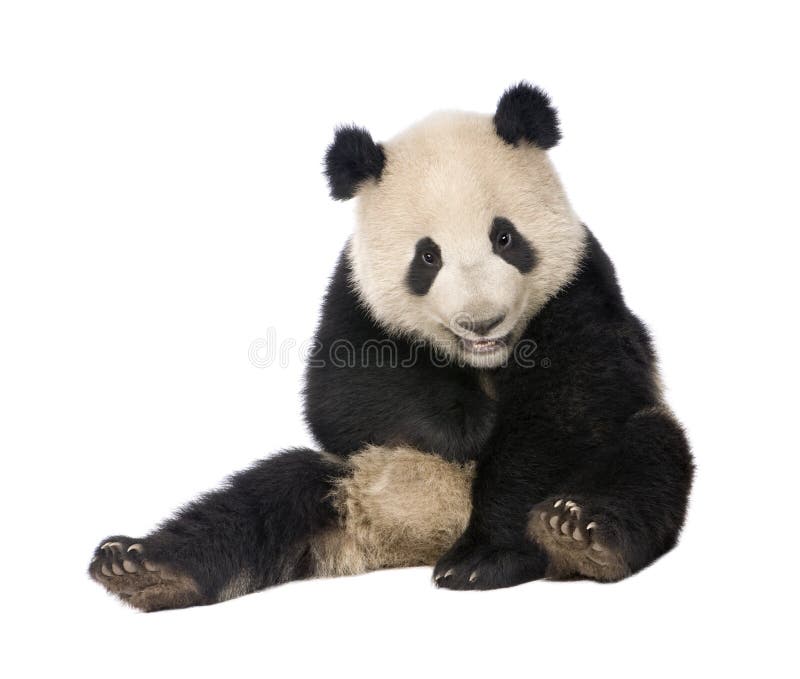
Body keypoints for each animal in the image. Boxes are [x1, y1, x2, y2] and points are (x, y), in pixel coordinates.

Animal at [89, 82, 694, 611]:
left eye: (505, 237)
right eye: (427, 257)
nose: (482, 322)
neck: (484, 361)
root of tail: (423, 535)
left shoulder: (581, 285)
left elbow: (569, 407)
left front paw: (485, 558)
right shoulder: (353, 292)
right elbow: (341, 395)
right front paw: (469, 420)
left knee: (648, 455)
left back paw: (576, 534)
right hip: (362, 475)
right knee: (266, 495)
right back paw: (145, 568)